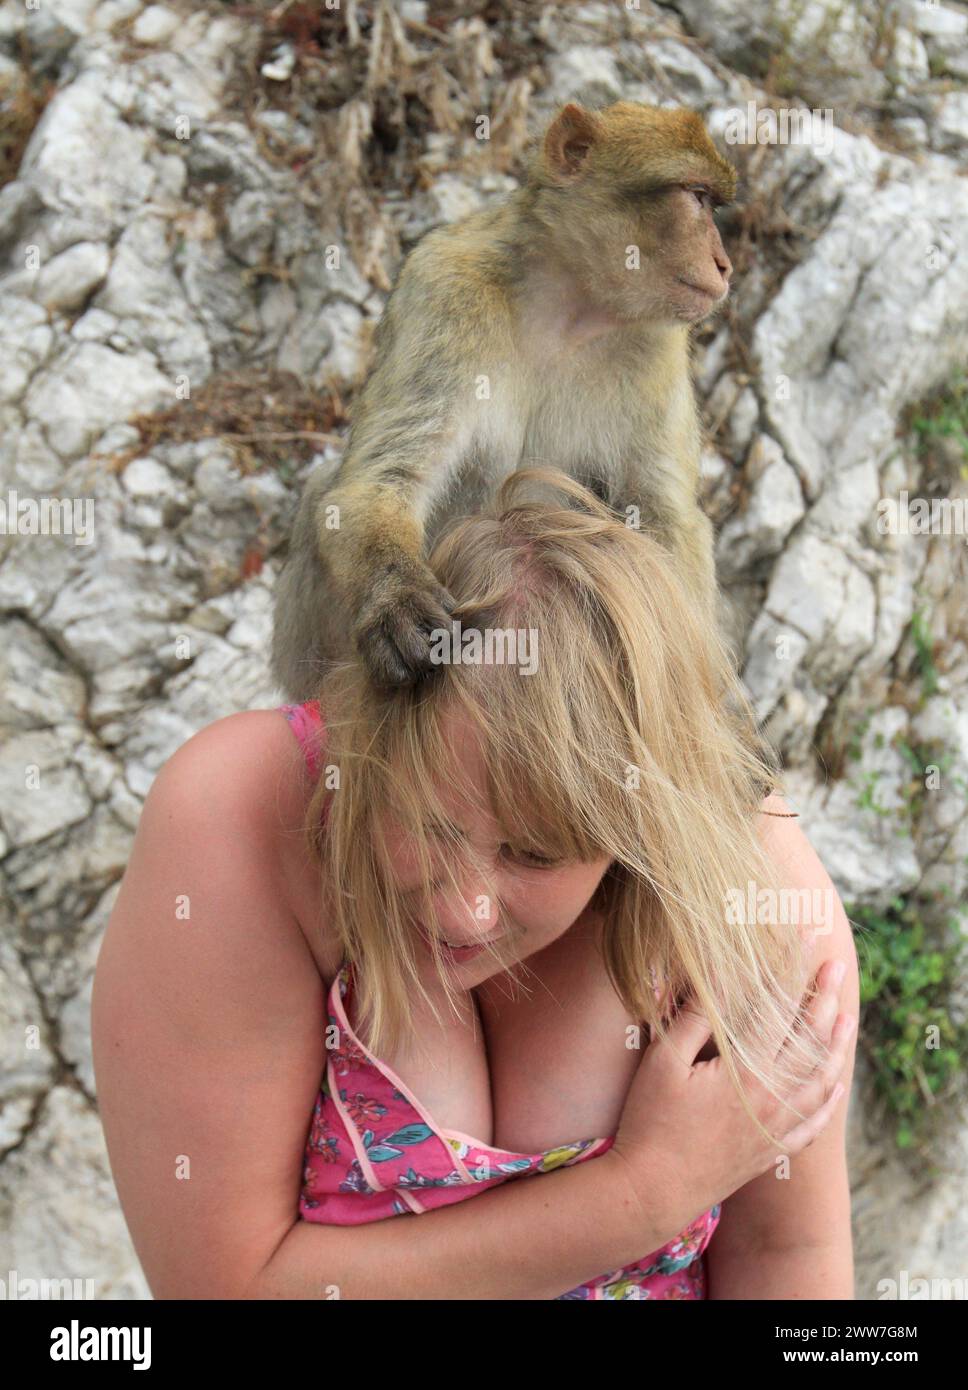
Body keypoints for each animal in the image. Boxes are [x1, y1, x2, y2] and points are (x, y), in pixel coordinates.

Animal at [272, 100, 737, 699]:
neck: (570, 307)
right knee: (318, 493)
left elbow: (662, 513)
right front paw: (394, 597)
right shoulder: (445, 288)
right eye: (696, 197)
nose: (725, 264)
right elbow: (380, 479)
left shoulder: (661, 350)